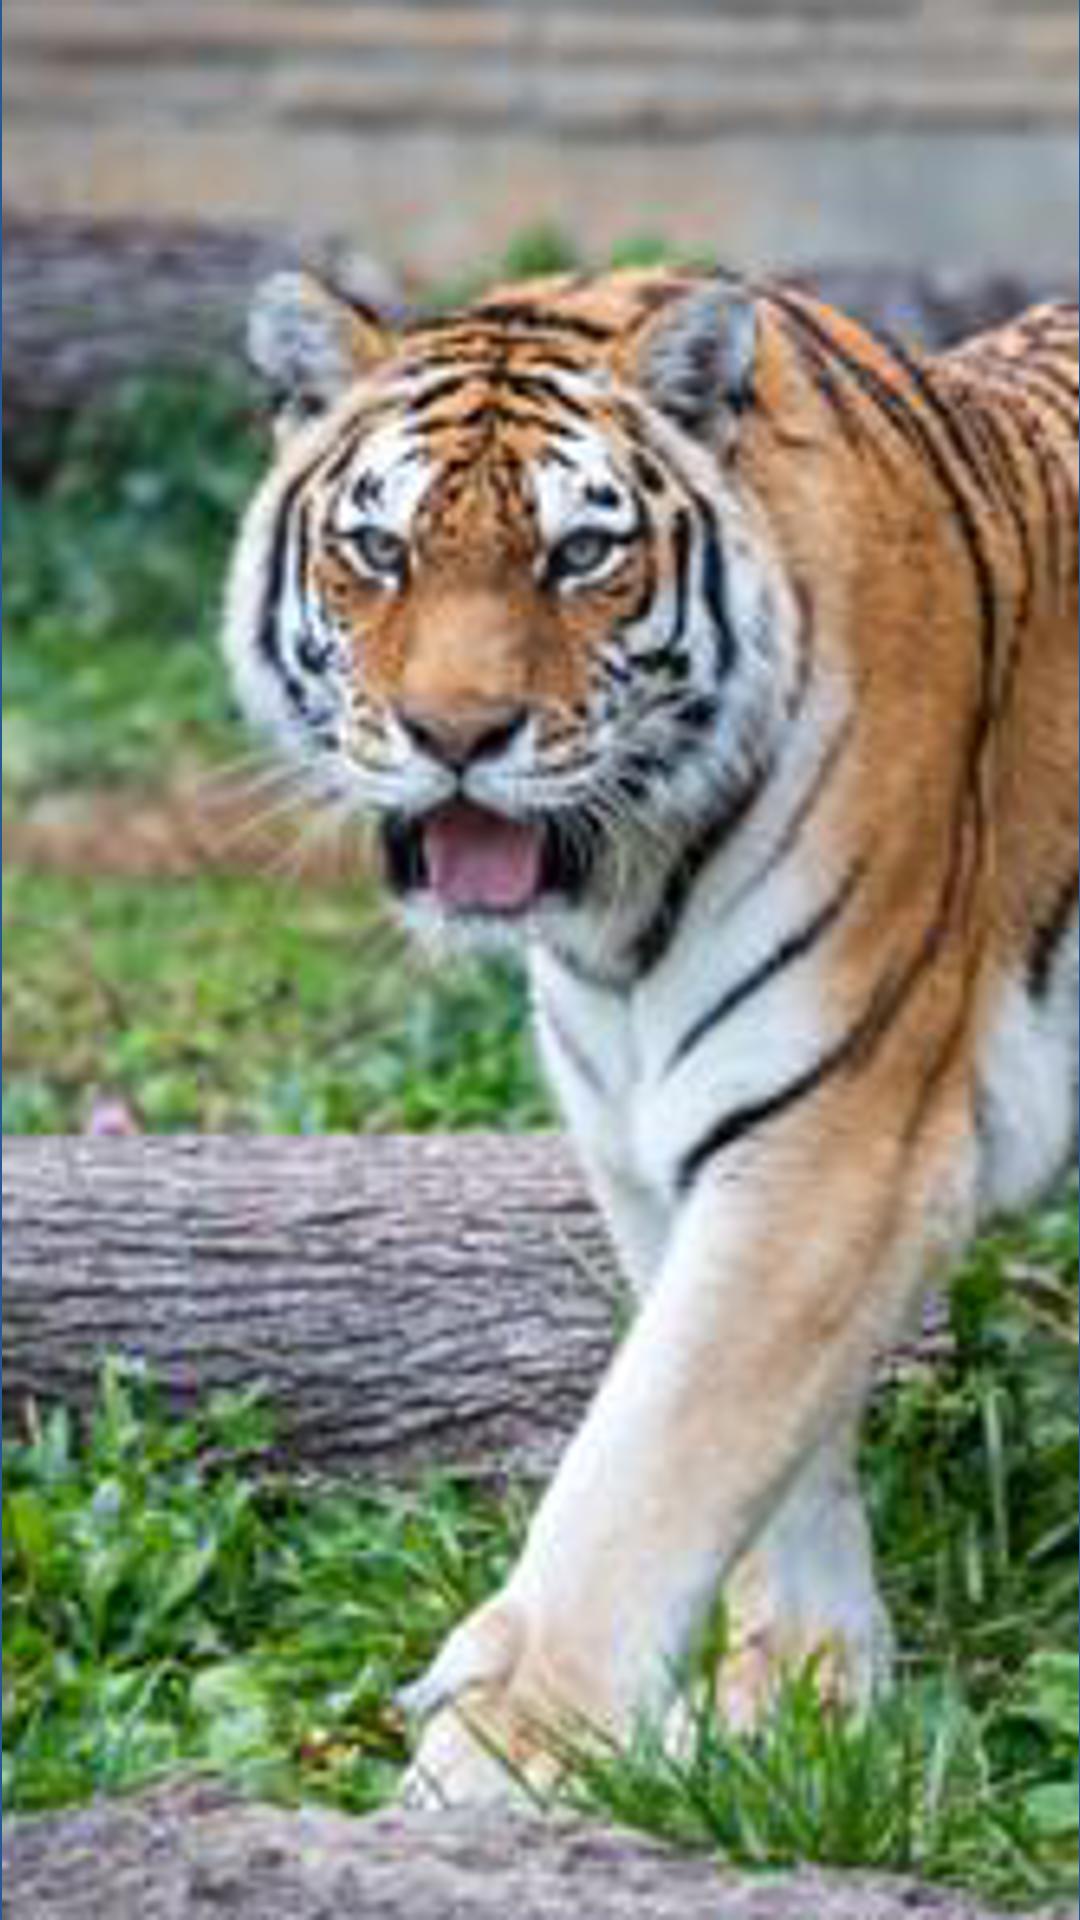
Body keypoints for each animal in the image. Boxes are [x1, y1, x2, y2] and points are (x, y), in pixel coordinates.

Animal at [223, 265, 1078, 1805]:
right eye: (378, 550)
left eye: (579, 556)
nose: (457, 735)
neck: (622, 899)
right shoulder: (648, 1140)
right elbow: (770, 1456)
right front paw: (798, 1714)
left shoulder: (839, 1132)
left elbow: (657, 1453)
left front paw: (508, 1751)